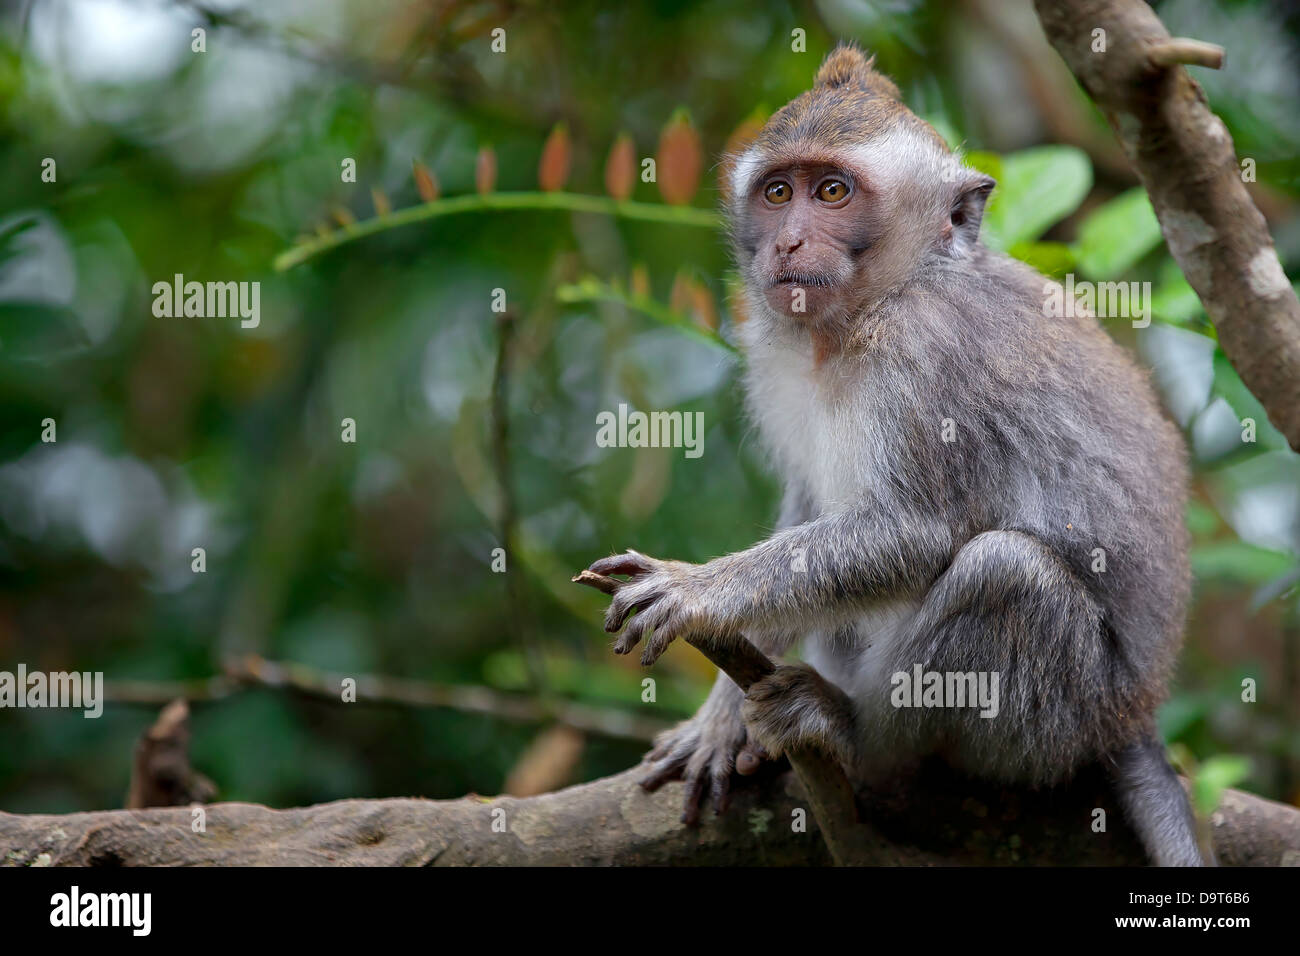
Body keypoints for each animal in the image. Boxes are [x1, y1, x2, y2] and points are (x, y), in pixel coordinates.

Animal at [584, 44, 1207, 866]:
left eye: (834, 191)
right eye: (778, 192)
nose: (787, 242)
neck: (862, 316)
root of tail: (1136, 717)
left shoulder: (926, 350)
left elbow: (917, 531)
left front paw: (696, 592)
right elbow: (809, 509)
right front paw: (717, 721)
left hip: (1066, 721)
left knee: (1008, 574)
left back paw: (859, 738)